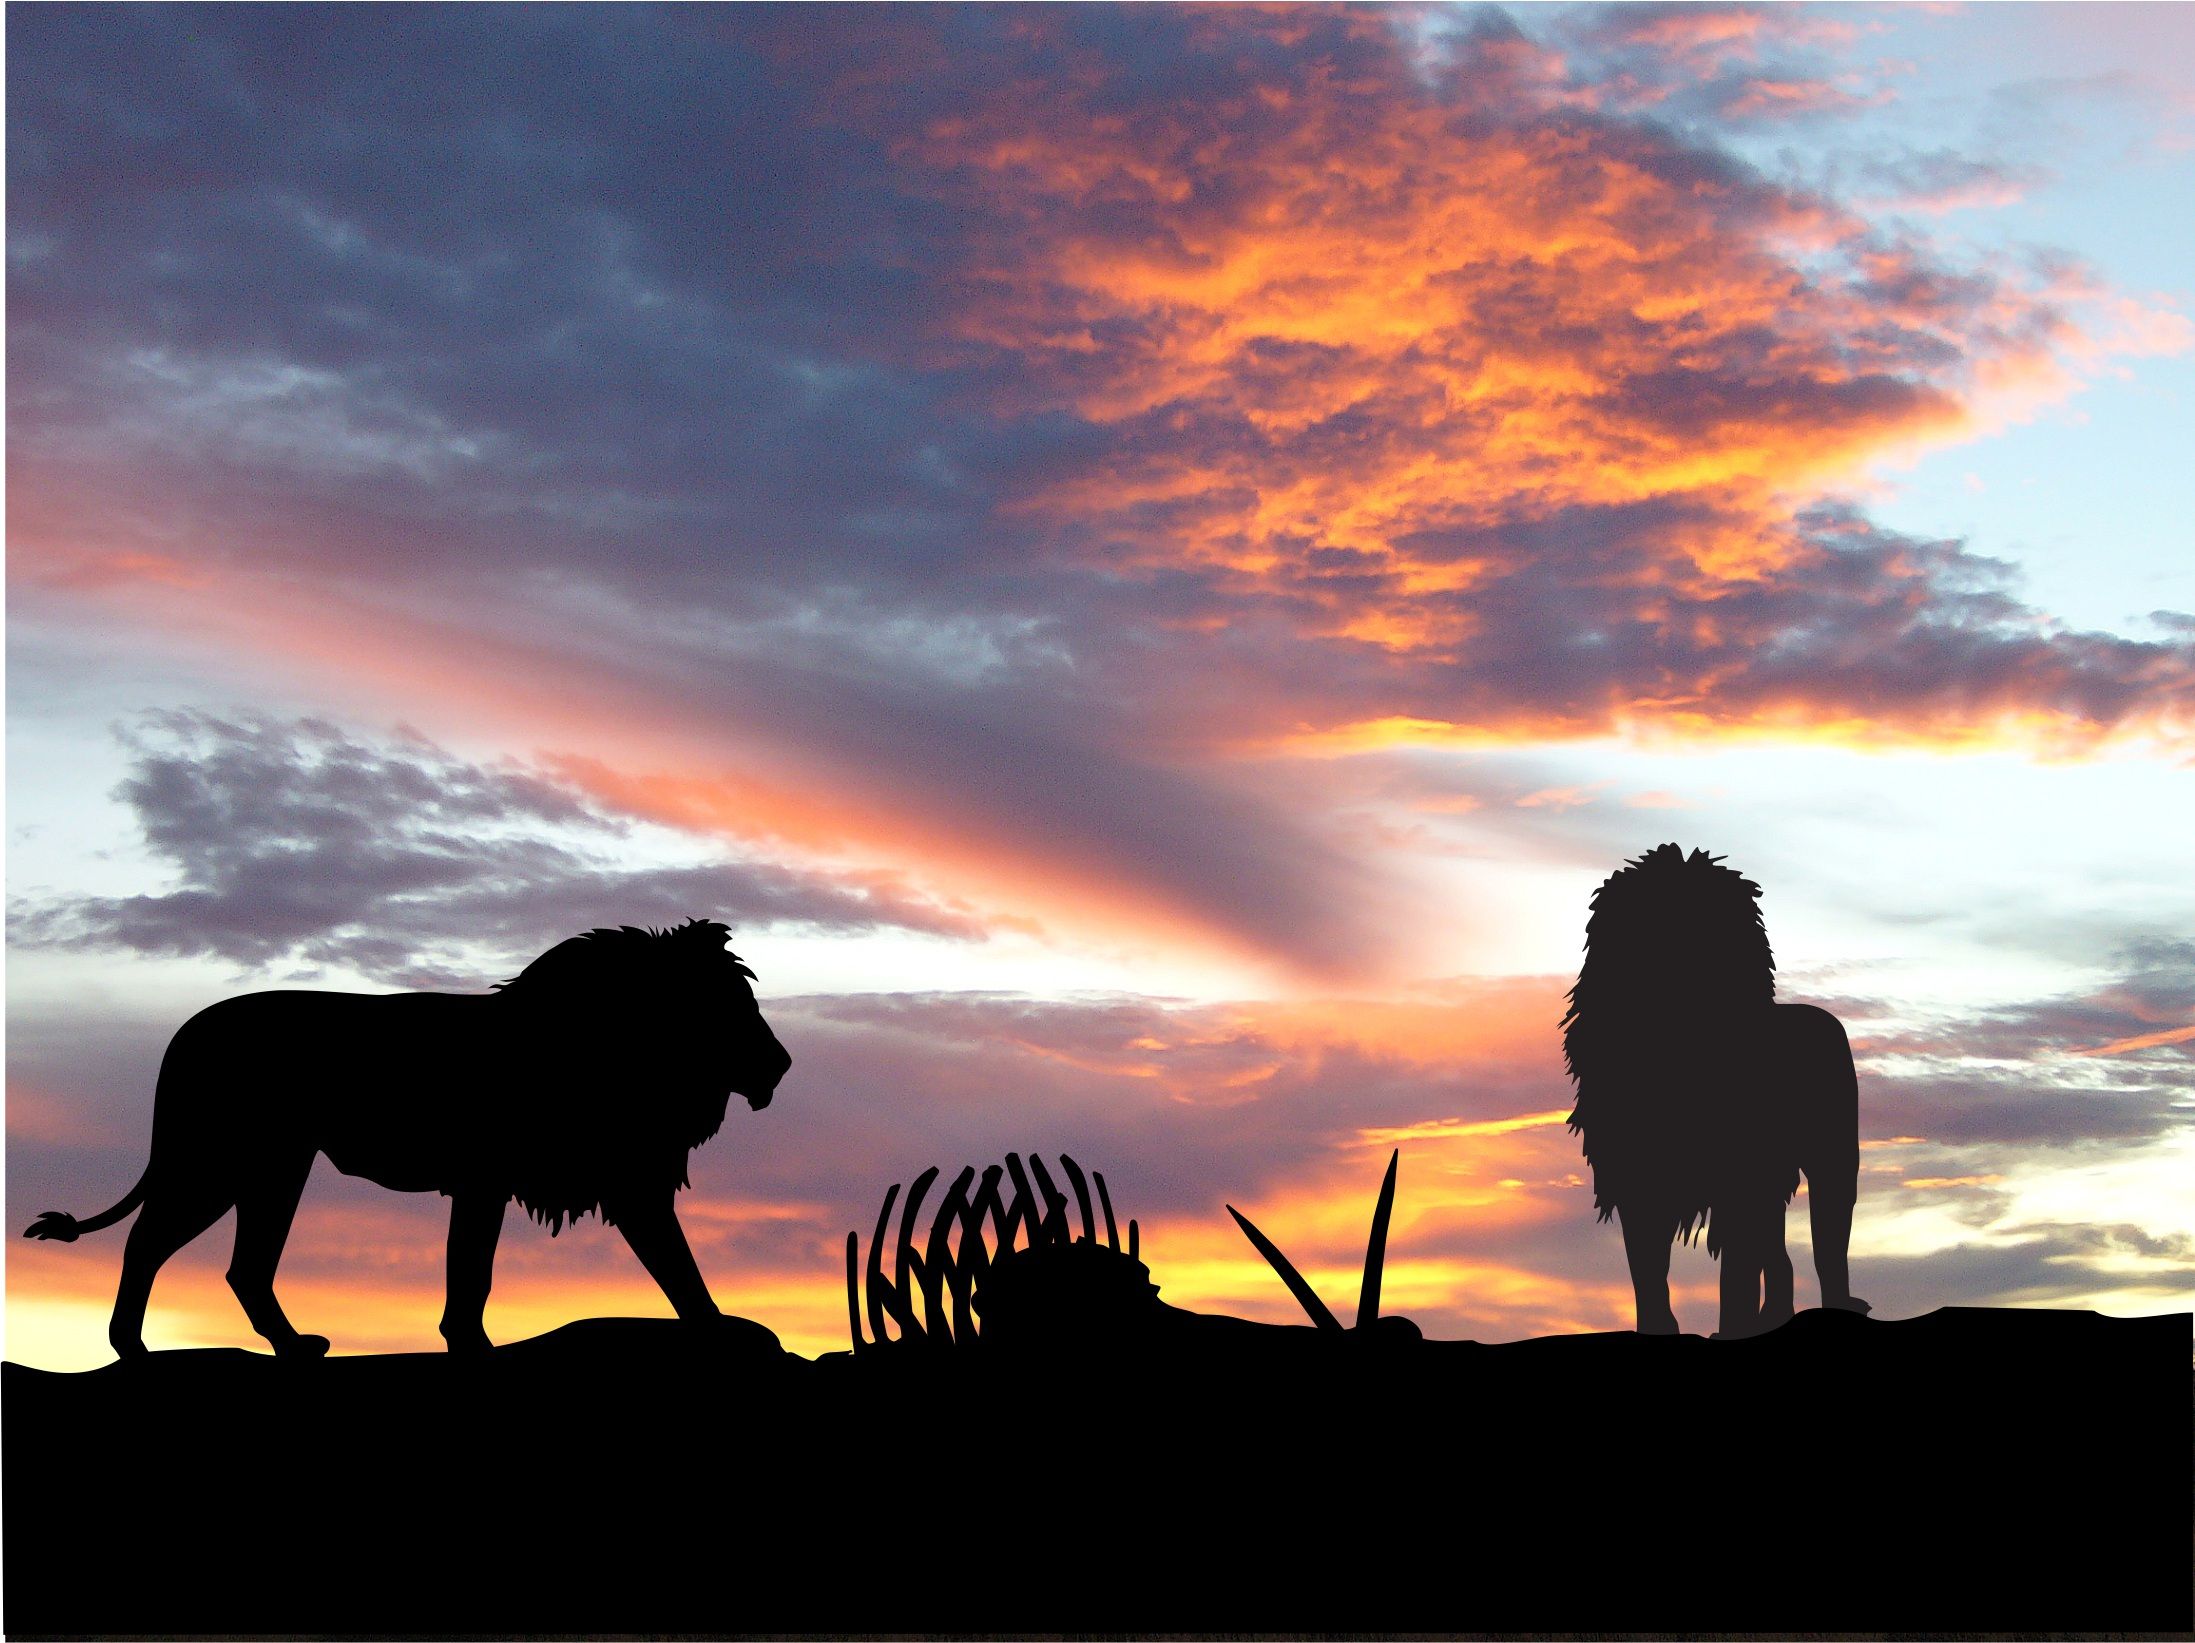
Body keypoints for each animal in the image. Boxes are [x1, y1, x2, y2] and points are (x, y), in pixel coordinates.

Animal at [23, 919, 790, 1360]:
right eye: (729, 1006)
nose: (780, 1064)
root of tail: (186, 1032)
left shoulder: (594, 1182)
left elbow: (673, 1265)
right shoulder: (504, 1178)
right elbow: (478, 1270)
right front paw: (472, 1346)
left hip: (274, 1167)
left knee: (243, 1265)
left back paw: (290, 1347)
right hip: (223, 1160)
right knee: (150, 1240)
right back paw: (133, 1348)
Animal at [1562, 845, 1869, 1337]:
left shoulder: (1740, 1172)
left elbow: (1737, 1272)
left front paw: (1735, 1328)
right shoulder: (1636, 1175)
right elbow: (1648, 1269)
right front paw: (1660, 1328)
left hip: (1830, 1153)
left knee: (1826, 1233)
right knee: (1779, 1251)